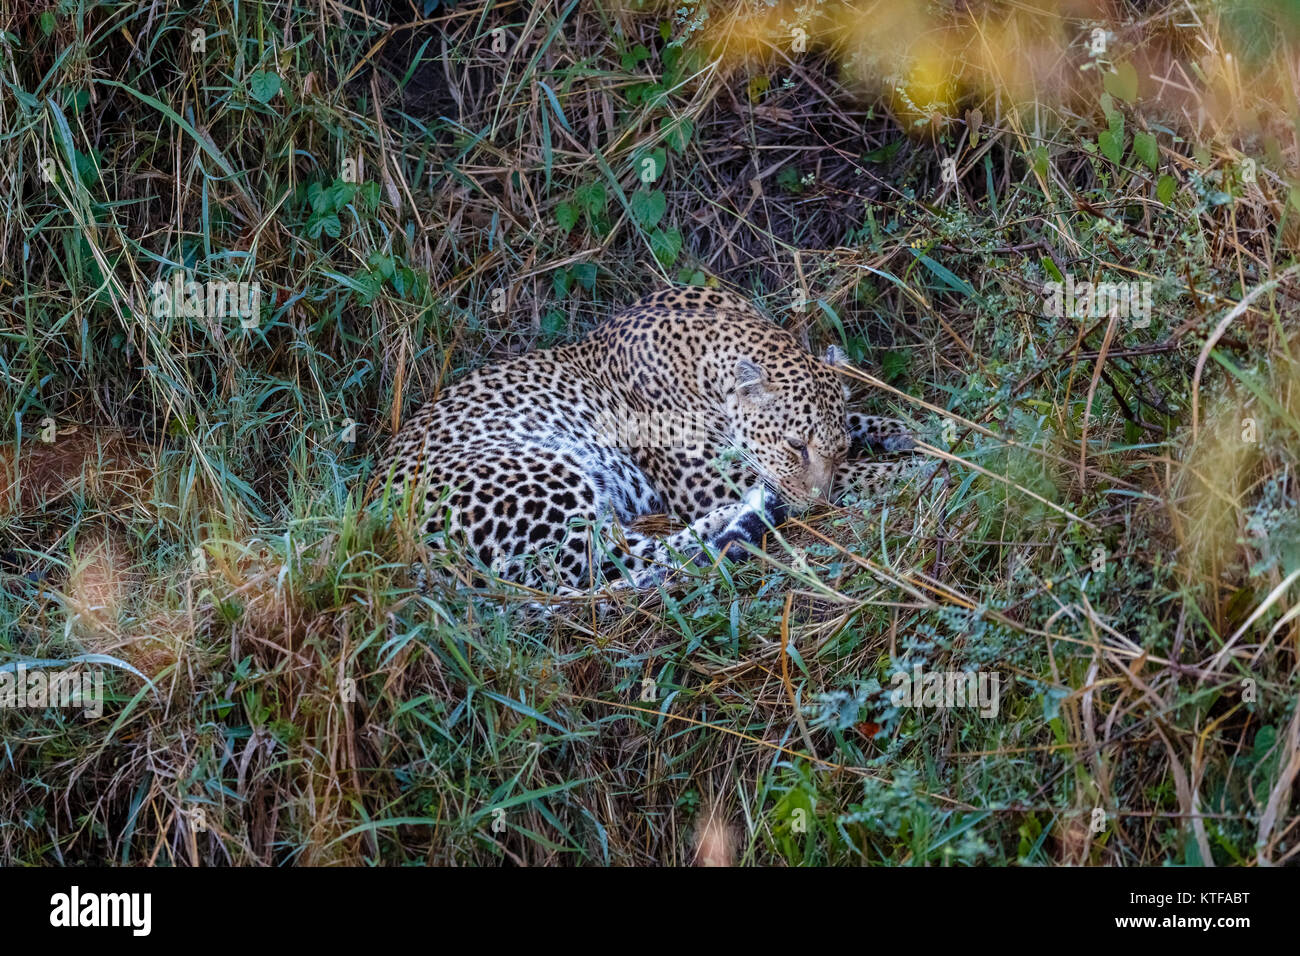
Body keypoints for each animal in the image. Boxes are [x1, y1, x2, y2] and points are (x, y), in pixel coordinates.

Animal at [373, 287, 934, 591]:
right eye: (795, 447)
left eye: (832, 451)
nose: (815, 506)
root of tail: (404, 560)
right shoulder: (707, 479)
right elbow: (857, 476)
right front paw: (919, 466)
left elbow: (860, 427)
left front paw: (915, 431)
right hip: (545, 474)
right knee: (628, 556)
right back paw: (736, 516)